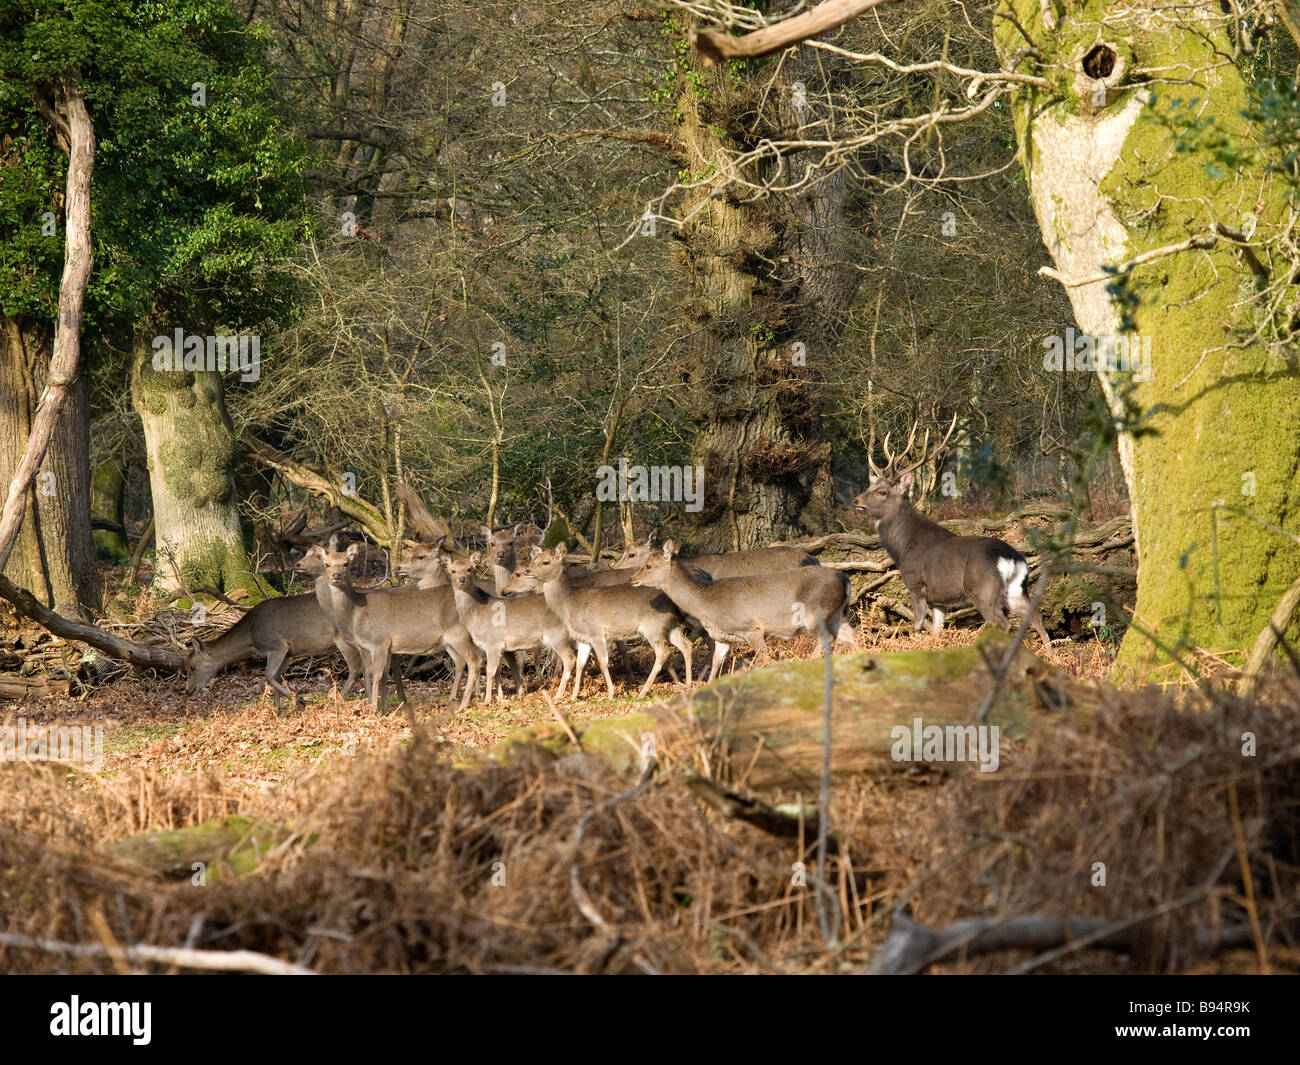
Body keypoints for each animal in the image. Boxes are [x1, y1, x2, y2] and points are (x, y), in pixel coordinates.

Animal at [304, 539, 481, 712]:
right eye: (326, 564)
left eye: (346, 563)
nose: (336, 575)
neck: (356, 614)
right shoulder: (381, 647)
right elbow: (381, 676)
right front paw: (383, 710)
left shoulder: (379, 642)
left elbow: (376, 674)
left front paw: (373, 710)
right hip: (448, 641)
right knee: (462, 661)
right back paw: (456, 700)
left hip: (459, 634)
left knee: (475, 660)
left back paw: (464, 704)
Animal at [441, 551, 577, 708]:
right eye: (452, 571)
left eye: (470, 569)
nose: (461, 579)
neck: (476, 614)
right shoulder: (499, 647)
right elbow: (498, 671)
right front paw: (500, 697)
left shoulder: (493, 642)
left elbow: (490, 671)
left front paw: (487, 700)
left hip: (557, 635)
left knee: (569, 658)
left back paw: (559, 695)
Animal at [514, 544, 693, 699]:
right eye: (535, 559)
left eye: (546, 562)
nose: (527, 570)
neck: (569, 605)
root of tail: (673, 603)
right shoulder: (583, 637)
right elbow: (580, 664)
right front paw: (573, 696)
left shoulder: (595, 632)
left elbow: (602, 661)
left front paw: (611, 693)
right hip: (669, 626)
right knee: (686, 644)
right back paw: (688, 683)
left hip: (653, 627)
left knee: (663, 652)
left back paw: (643, 691)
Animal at [630, 539, 853, 683]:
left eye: (648, 565)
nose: (633, 579)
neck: (707, 604)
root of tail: (846, 580)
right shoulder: (723, 638)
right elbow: (715, 664)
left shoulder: (752, 628)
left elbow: (765, 659)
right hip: (837, 615)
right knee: (851, 636)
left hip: (816, 613)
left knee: (826, 639)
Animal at [851, 416, 1051, 645]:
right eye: (870, 487)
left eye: (882, 491)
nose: (856, 500)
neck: (903, 546)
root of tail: (1012, 559)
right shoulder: (939, 600)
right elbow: (937, 630)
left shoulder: (915, 583)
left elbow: (918, 625)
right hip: (1016, 590)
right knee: (1036, 617)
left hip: (983, 590)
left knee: (1004, 623)